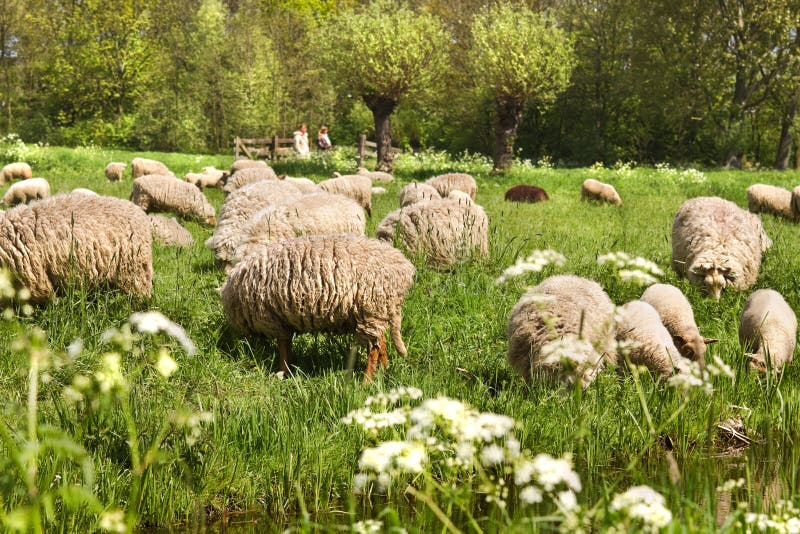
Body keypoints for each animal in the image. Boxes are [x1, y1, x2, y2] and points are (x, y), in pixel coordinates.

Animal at [220, 234, 415, 381]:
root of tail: (403, 267)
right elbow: (287, 344)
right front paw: (289, 368)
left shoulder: (274, 319)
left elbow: (283, 346)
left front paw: (283, 371)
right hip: (377, 312)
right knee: (381, 341)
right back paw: (384, 369)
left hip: (371, 310)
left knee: (373, 348)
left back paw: (366, 381)